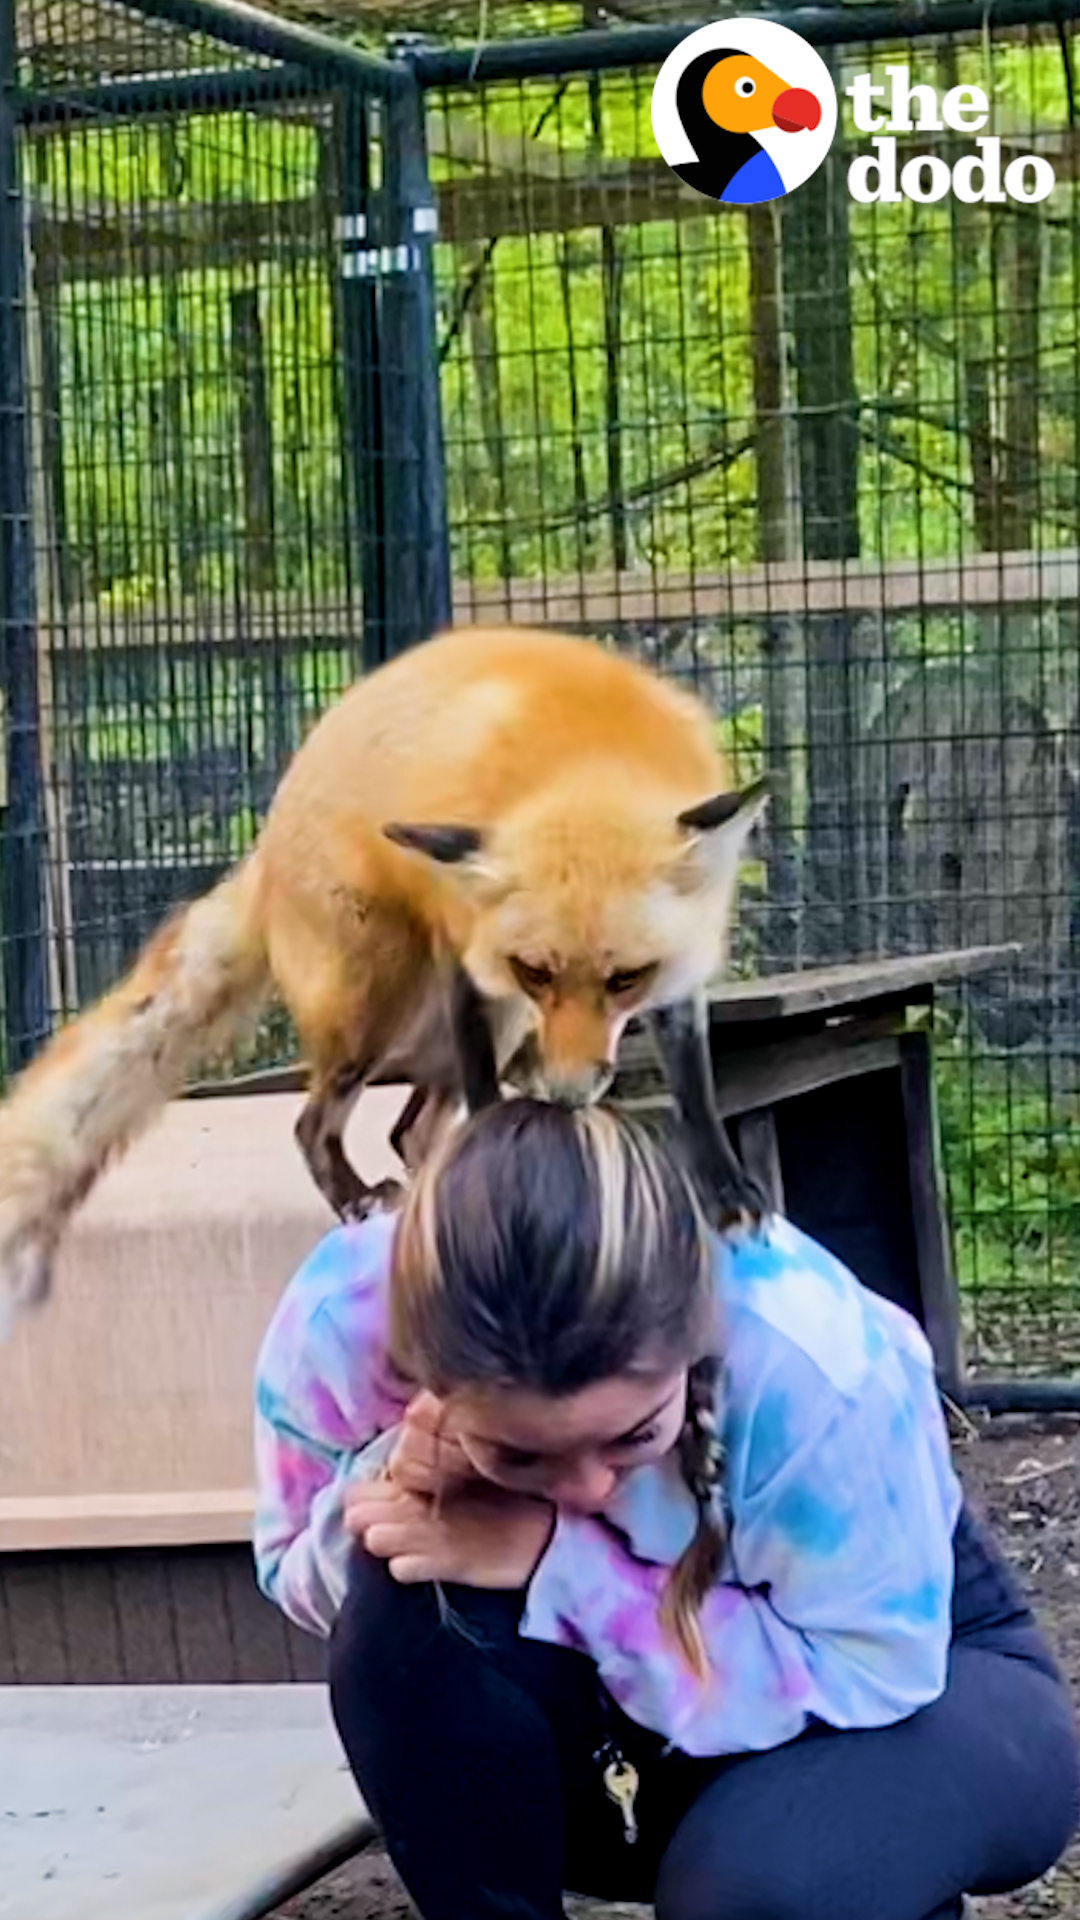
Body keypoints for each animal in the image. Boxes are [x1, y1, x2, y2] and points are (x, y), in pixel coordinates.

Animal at [0, 622, 768, 1325]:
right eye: (534, 971)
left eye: (626, 980)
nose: (572, 1094)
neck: (584, 755)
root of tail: (268, 843)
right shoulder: (470, 959)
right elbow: (485, 1102)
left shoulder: (673, 984)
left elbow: (696, 1092)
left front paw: (727, 1194)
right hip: (377, 1005)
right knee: (314, 1126)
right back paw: (359, 1195)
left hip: (469, 1026)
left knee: (411, 1135)